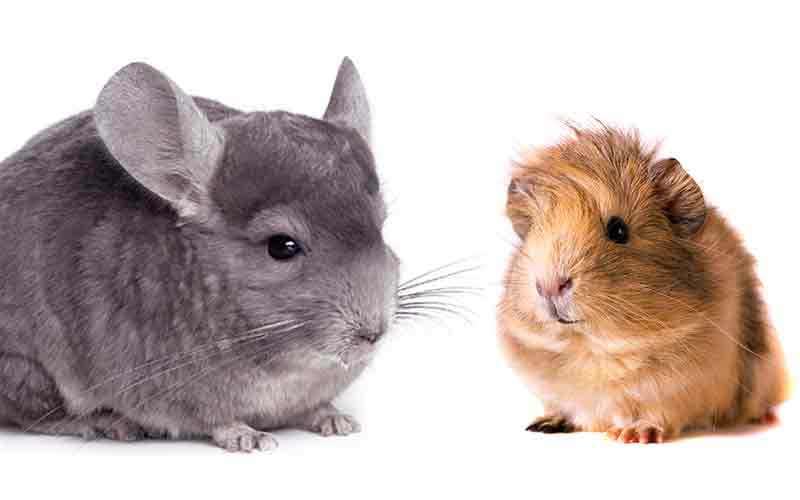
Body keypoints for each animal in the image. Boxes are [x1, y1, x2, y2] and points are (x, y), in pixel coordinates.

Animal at [0, 58, 400, 452]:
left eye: (381, 226)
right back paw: (106, 423)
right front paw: (248, 437)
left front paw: (336, 419)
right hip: (28, 367)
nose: (373, 332)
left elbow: (315, 407)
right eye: (282, 246)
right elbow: (214, 420)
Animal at [498, 123, 789, 443]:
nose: (549, 286)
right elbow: (565, 407)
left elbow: (656, 413)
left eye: (618, 230)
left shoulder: (678, 391)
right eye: (534, 233)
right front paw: (543, 425)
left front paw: (631, 434)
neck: (594, 349)